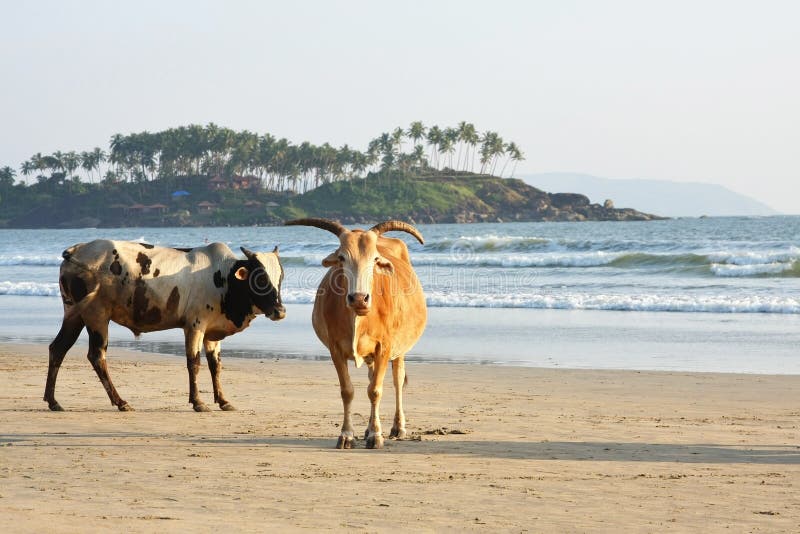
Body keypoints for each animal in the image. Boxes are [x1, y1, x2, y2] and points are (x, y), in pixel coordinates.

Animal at [44, 240, 285, 412]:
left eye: (280, 278)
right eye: (260, 278)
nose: (280, 311)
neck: (224, 278)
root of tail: (77, 250)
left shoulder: (211, 333)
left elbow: (215, 366)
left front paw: (223, 401)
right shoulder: (194, 326)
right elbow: (194, 363)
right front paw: (198, 402)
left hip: (74, 314)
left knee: (58, 348)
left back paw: (53, 401)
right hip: (97, 316)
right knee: (96, 355)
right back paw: (121, 402)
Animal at [285, 218, 427, 449]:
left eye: (375, 259)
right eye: (342, 257)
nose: (359, 298)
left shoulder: (384, 347)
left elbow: (375, 390)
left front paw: (376, 436)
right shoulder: (335, 349)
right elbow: (348, 391)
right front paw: (347, 435)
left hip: (400, 350)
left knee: (397, 380)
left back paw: (397, 427)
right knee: (371, 379)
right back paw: (369, 428)